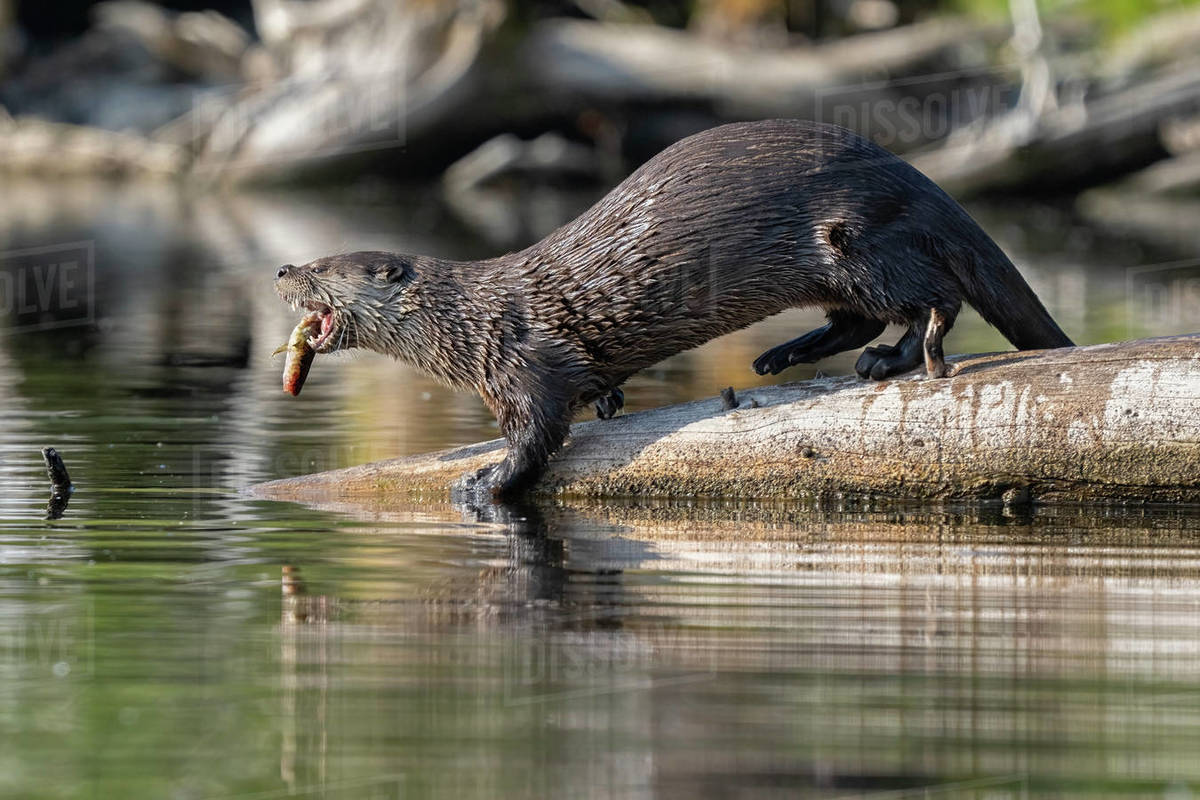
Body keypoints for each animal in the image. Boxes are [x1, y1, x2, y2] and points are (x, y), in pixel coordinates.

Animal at [274, 119, 1073, 500]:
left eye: (323, 268)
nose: (282, 267)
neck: (471, 323)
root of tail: (917, 178)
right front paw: (609, 401)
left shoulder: (524, 362)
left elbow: (537, 439)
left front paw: (483, 484)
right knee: (860, 315)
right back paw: (783, 355)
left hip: (856, 238)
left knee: (931, 296)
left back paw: (901, 356)